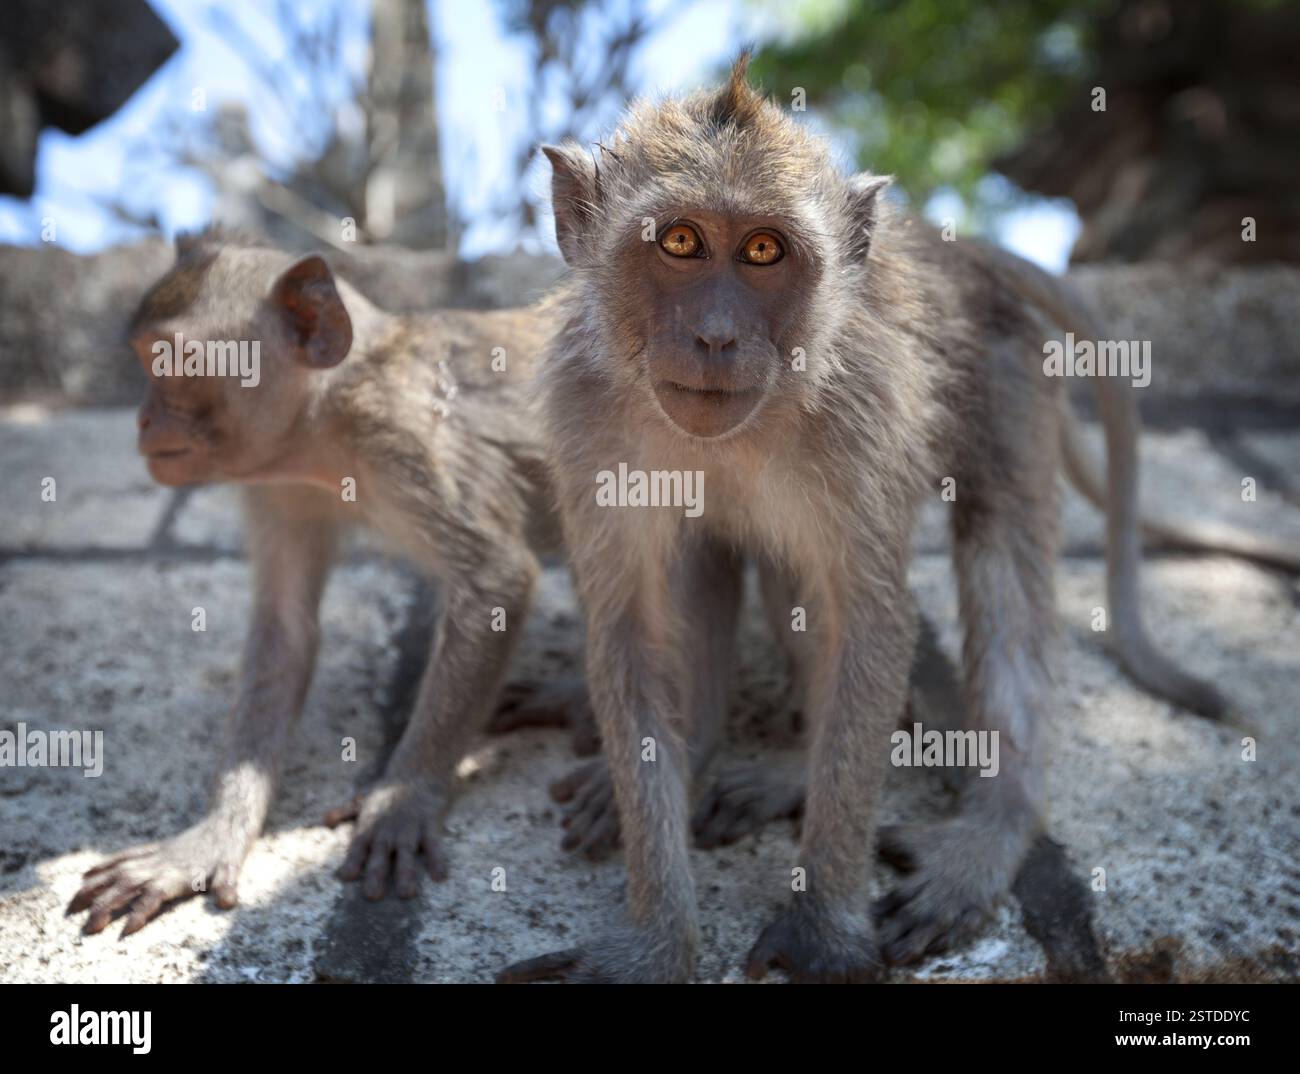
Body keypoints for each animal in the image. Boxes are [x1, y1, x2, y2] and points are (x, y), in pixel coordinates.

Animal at [66, 229, 585, 936]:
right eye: (147, 364)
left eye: (172, 364)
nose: (143, 421)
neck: (326, 416)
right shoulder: (277, 485)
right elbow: (285, 630)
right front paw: (208, 840)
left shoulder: (405, 436)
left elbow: (497, 582)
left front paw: (401, 800)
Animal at [498, 57, 1299, 983]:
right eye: (680, 243)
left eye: (763, 250)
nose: (715, 336)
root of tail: (963, 253)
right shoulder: (584, 412)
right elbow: (629, 631)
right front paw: (658, 936)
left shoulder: (862, 414)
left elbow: (873, 621)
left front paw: (822, 927)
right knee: (720, 551)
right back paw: (707, 751)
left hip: (1012, 381)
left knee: (998, 551)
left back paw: (984, 824)